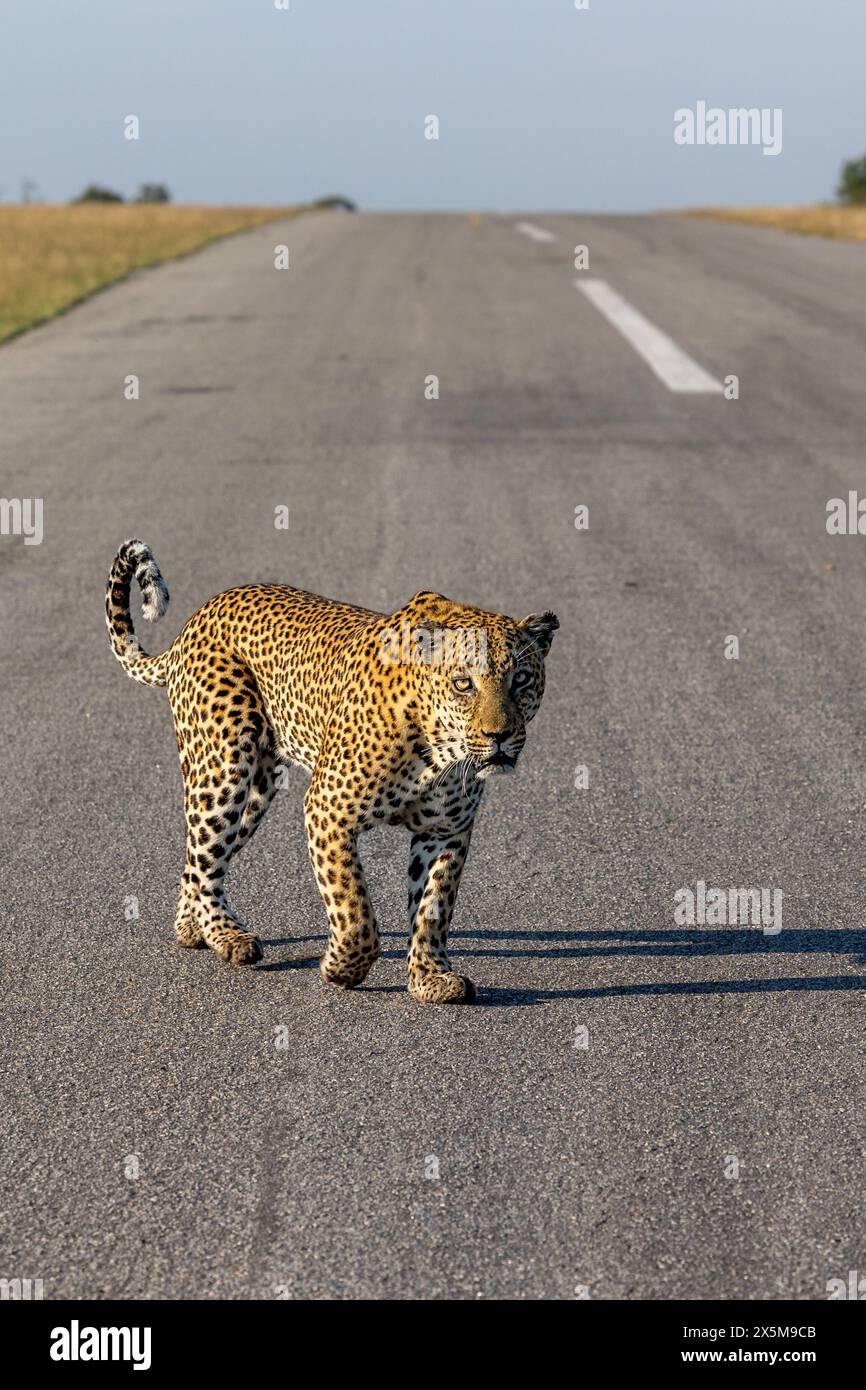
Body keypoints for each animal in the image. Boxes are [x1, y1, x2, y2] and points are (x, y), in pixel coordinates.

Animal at [106, 539, 558, 1005]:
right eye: (463, 683)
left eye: (521, 680)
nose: (499, 735)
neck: (440, 749)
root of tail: (197, 617)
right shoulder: (328, 811)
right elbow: (353, 907)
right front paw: (342, 969)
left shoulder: (445, 831)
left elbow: (433, 908)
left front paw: (430, 977)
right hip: (223, 770)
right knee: (205, 861)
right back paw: (226, 936)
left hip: (256, 790)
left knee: (197, 856)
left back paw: (190, 927)